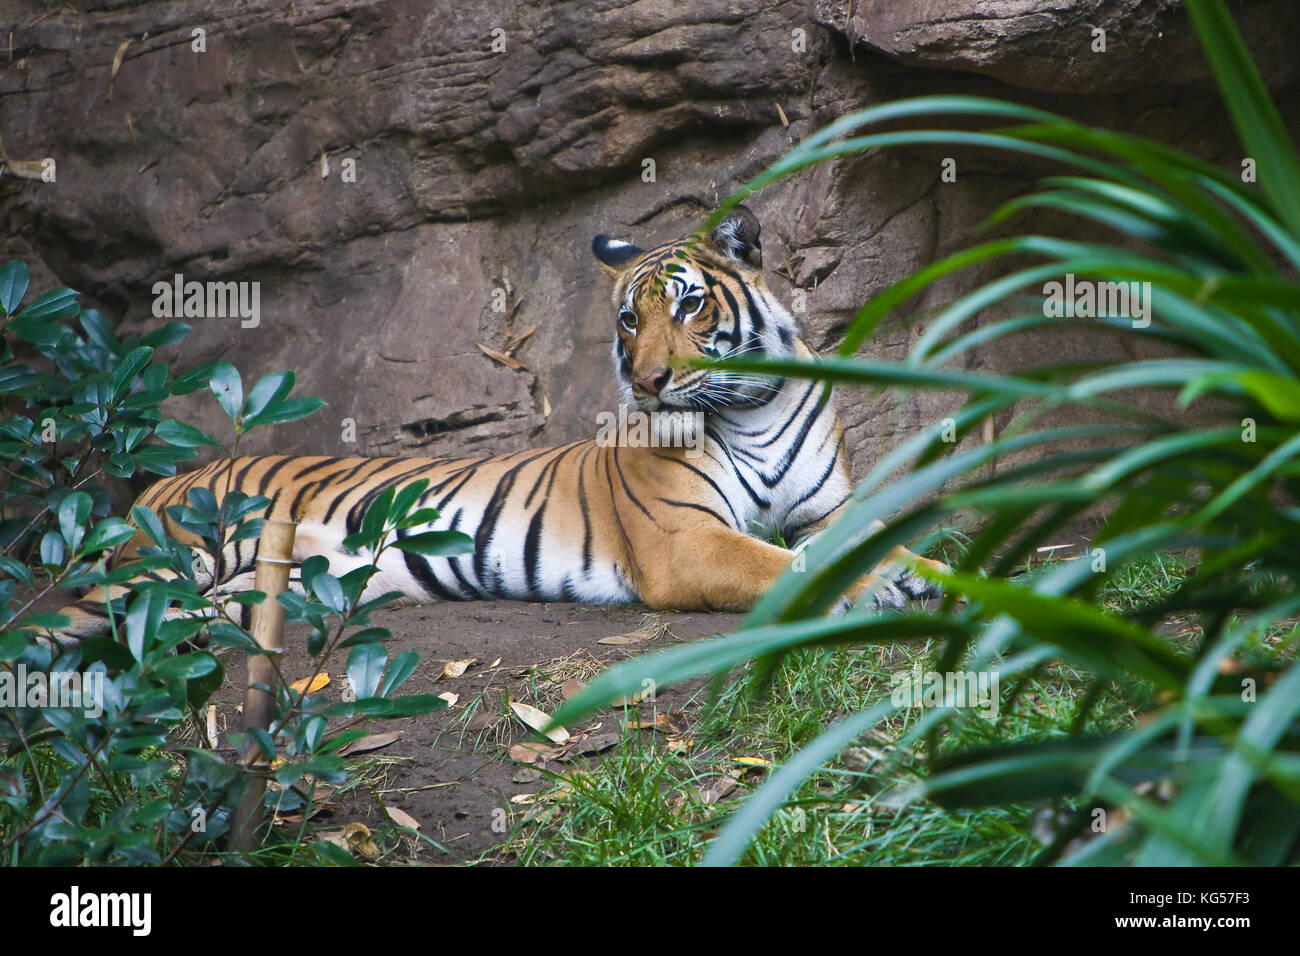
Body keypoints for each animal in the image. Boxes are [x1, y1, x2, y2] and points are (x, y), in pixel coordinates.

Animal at [55, 206, 946, 641]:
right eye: (629, 320)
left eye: (691, 305)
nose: (649, 381)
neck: (751, 406)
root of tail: (164, 481)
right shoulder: (685, 540)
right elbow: (783, 566)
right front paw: (876, 589)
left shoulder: (828, 511)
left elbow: (883, 542)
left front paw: (935, 572)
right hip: (163, 560)